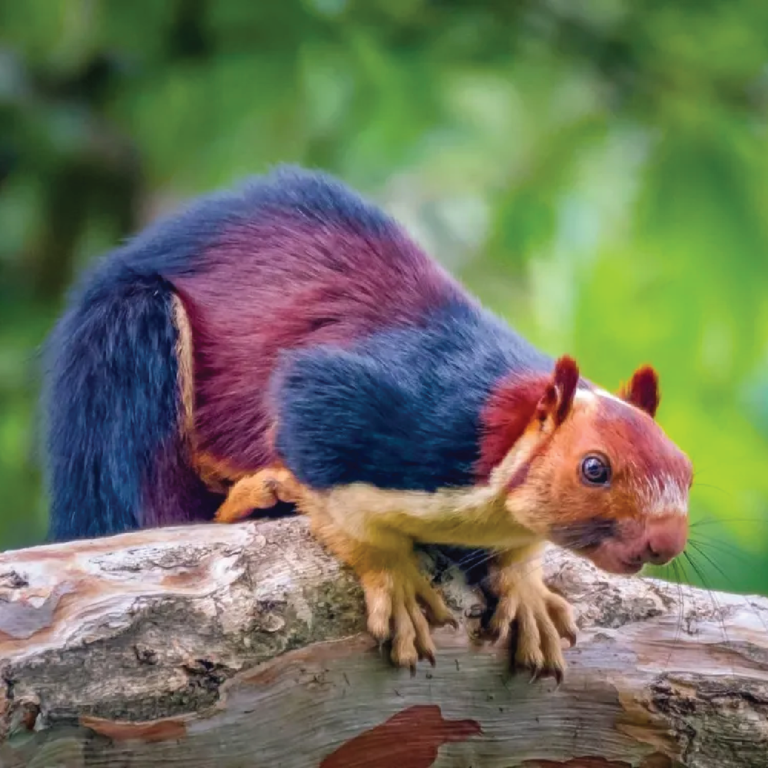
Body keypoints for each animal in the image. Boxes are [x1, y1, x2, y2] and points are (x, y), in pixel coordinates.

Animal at [42, 165, 693, 681]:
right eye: (594, 468)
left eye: (686, 469)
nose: (666, 541)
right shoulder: (377, 409)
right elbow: (333, 480)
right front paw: (393, 578)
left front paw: (526, 586)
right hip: (127, 349)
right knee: (149, 510)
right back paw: (255, 497)